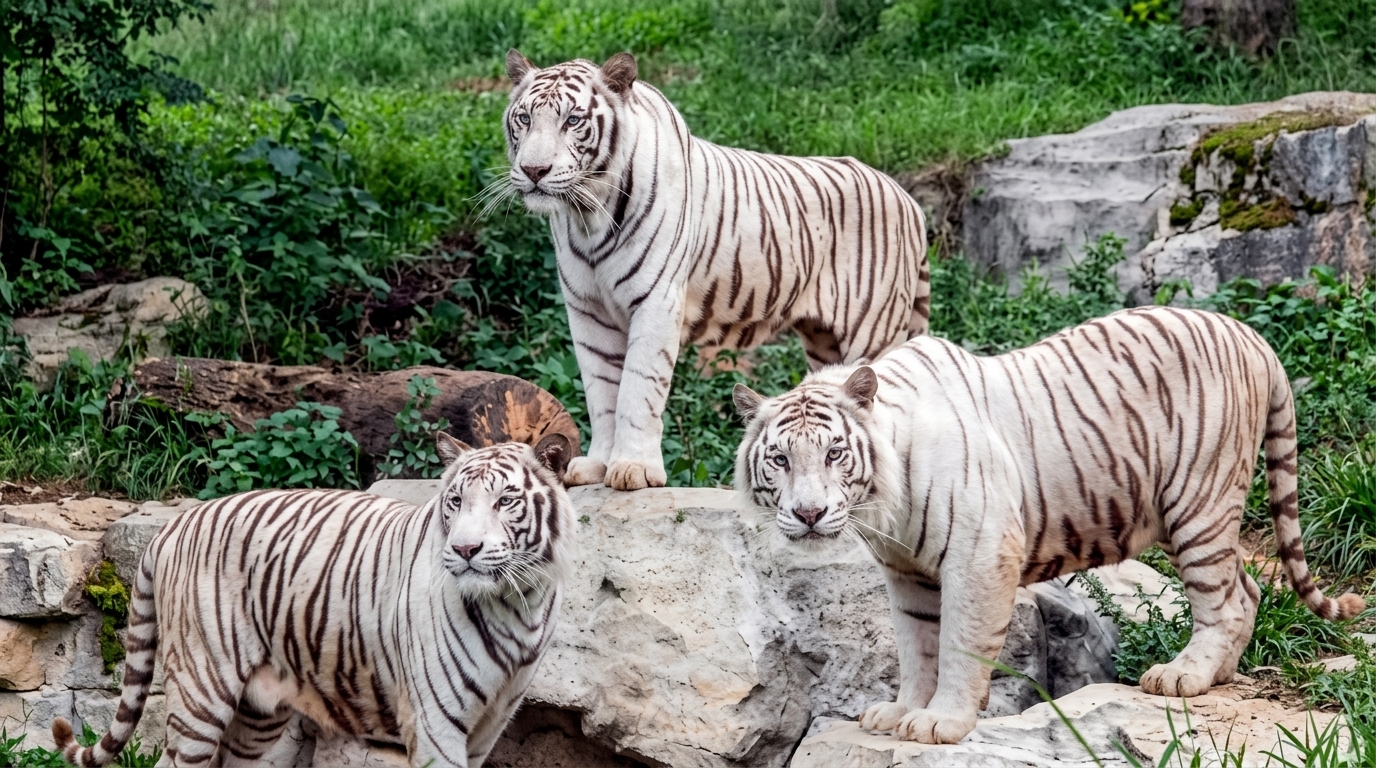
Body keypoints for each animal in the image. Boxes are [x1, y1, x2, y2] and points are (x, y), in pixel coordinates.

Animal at [52, 433, 574, 768]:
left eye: (505, 501)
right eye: (456, 501)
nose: (465, 549)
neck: (517, 603)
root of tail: (175, 523)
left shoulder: (490, 724)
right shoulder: (435, 723)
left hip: (259, 712)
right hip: (203, 689)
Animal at [494, 49, 930, 492]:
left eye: (572, 120)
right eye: (524, 118)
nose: (533, 171)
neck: (587, 214)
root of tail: (907, 199)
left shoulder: (655, 302)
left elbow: (637, 388)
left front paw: (633, 468)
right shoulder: (587, 311)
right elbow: (602, 392)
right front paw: (598, 465)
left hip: (873, 331)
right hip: (824, 342)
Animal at [732, 306, 1365, 745]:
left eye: (835, 453)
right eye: (780, 459)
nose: (809, 514)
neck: (886, 500)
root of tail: (1254, 337)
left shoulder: (980, 554)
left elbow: (959, 645)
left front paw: (941, 723)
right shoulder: (907, 574)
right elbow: (916, 647)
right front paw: (901, 711)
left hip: (1200, 499)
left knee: (1224, 601)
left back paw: (1183, 677)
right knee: (1249, 588)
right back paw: (1220, 675)